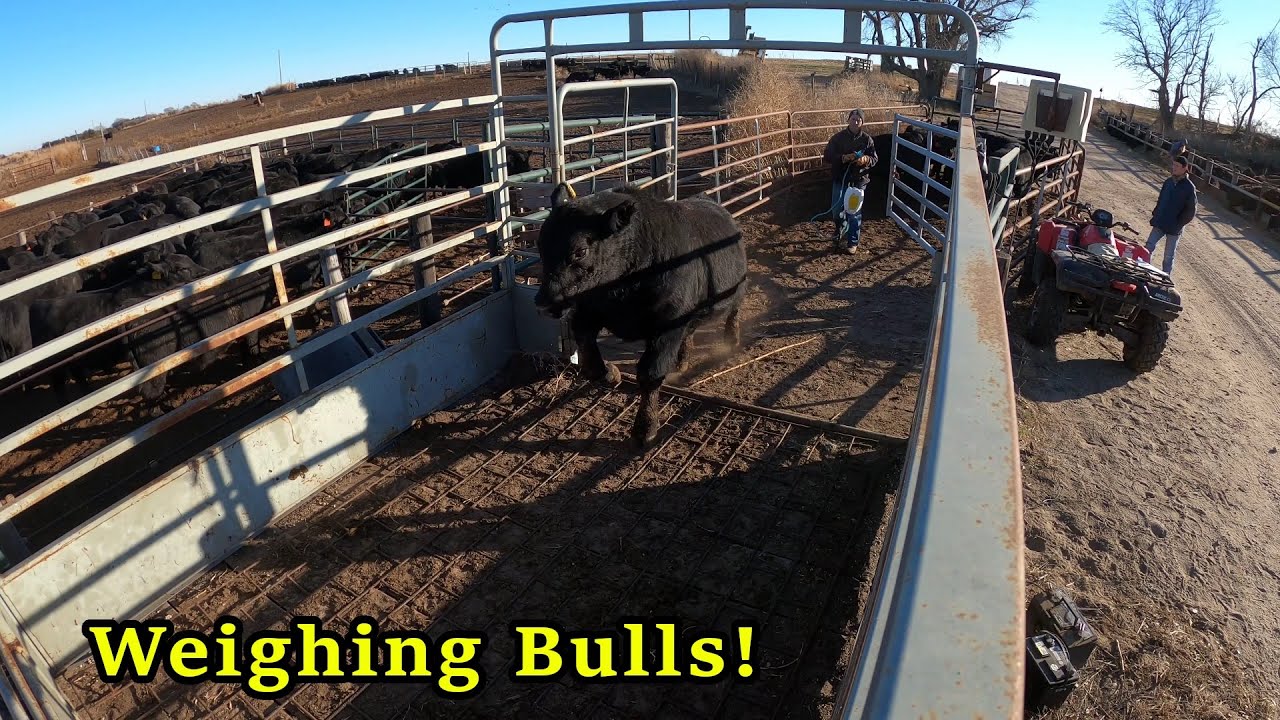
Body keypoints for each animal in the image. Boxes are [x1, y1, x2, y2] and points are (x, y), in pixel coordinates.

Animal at [533, 183, 748, 449]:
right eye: (540, 245)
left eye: (580, 251)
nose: (543, 303)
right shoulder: (588, 313)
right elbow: (589, 357)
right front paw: (611, 373)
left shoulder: (667, 326)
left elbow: (650, 374)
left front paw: (645, 428)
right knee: (690, 333)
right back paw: (682, 362)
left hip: (738, 289)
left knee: (733, 314)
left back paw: (731, 339)